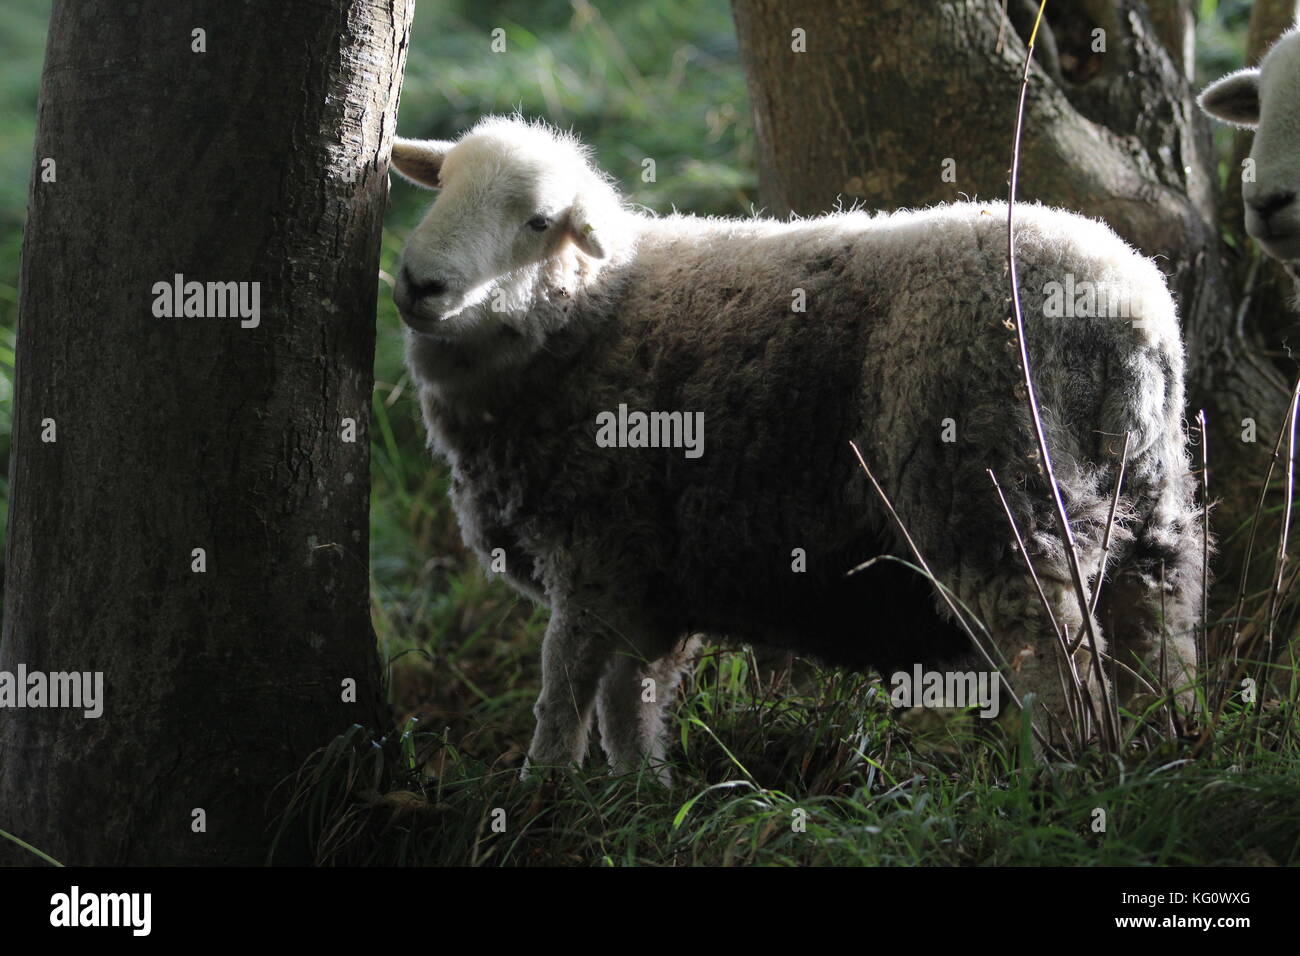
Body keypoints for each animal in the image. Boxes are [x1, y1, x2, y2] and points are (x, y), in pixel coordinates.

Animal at [389, 115, 1203, 781]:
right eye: (441, 186)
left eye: (537, 221)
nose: (418, 285)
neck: (596, 311)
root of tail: (1126, 312)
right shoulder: (645, 578)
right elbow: (629, 702)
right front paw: (635, 796)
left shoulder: (592, 556)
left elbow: (564, 694)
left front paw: (542, 795)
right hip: (1153, 505)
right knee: (1161, 635)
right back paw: (1166, 753)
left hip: (996, 499)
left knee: (1051, 662)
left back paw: (1060, 779)